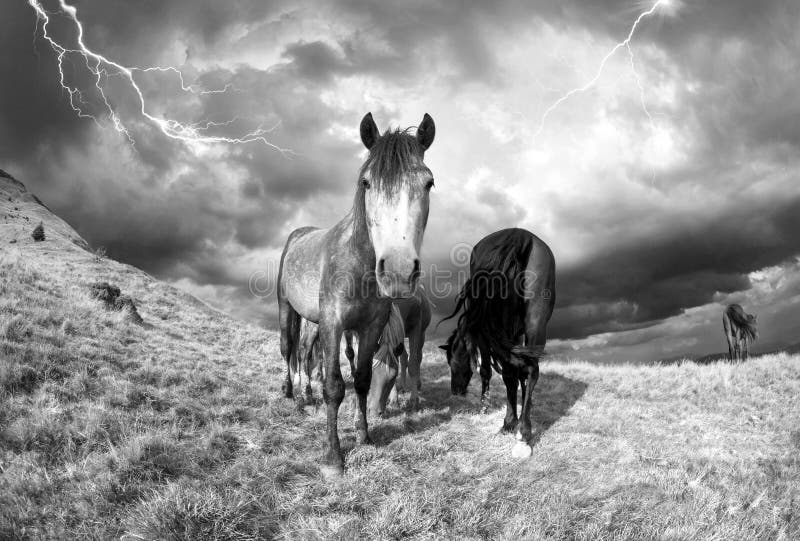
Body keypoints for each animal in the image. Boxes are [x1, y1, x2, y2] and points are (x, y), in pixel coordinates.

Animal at [277, 112, 436, 476]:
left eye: (428, 183)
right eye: (366, 182)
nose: (398, 270)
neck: (356, 262)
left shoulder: (371, 327)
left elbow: (361, 379)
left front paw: (364, 437)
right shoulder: (334, 324)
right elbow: (335, 386)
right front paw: (334, 457)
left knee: (303, 352)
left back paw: (305, 396)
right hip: (287, 308)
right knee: (289, 348)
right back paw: (291, 394)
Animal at [440, 228, 555, 459]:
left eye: (451, 363)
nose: (455, 391)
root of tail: (521, 236)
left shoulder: (483, 338)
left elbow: (487, 371)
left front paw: (485, 406)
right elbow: (517, 375)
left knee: (514, 371)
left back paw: (516, 427)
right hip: (534, 321)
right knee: (529, 370)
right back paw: (522, 429)